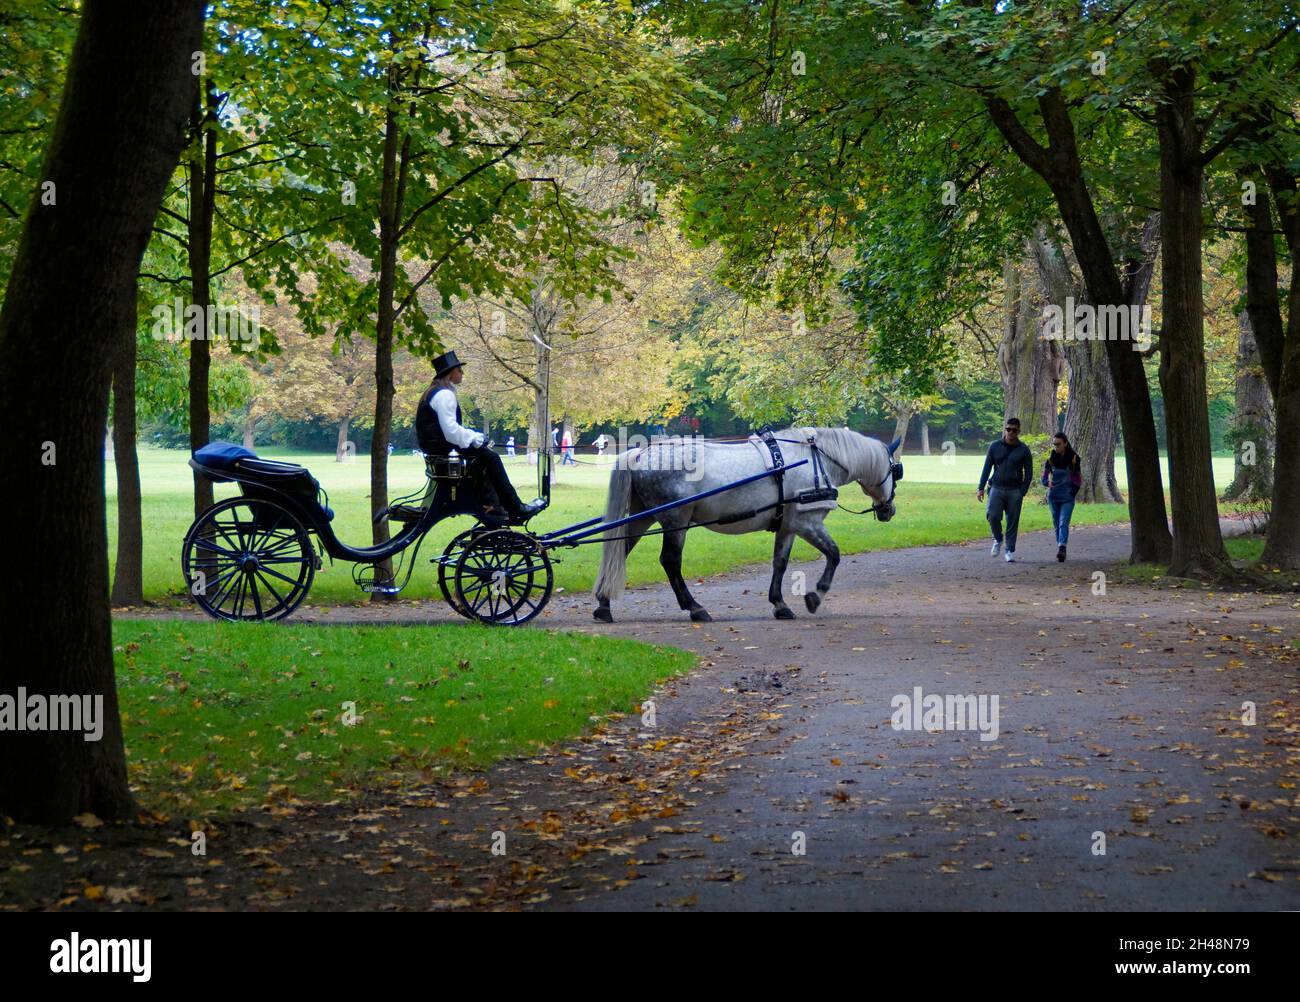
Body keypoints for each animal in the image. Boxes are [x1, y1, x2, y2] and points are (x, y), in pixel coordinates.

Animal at [591, 427, 900, 623]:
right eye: (896, 470)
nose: (889, 510)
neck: (816, 458)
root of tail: (640, 454)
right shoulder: (807, 522)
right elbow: (834, 554)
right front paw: (816, 595)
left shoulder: (788, 526)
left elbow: (780, 563)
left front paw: (779, 604)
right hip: (675, 520)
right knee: (670, 561)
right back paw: (695, 608)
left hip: (643, 517)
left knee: (619, 552)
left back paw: (604, 604)